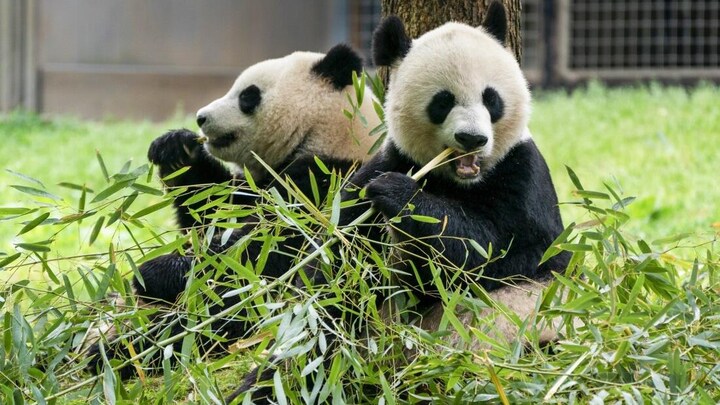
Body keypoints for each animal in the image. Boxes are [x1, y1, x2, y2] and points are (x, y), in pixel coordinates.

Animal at [86, 44, 380, 379]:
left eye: (247, 96)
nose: (200, 118)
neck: (328, 134)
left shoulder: (325, 185)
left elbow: (263, 253)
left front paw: (154, 272)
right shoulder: (257, 184)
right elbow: (210, 212)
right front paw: (176, 149)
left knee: (210, 321)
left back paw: (117, 353)